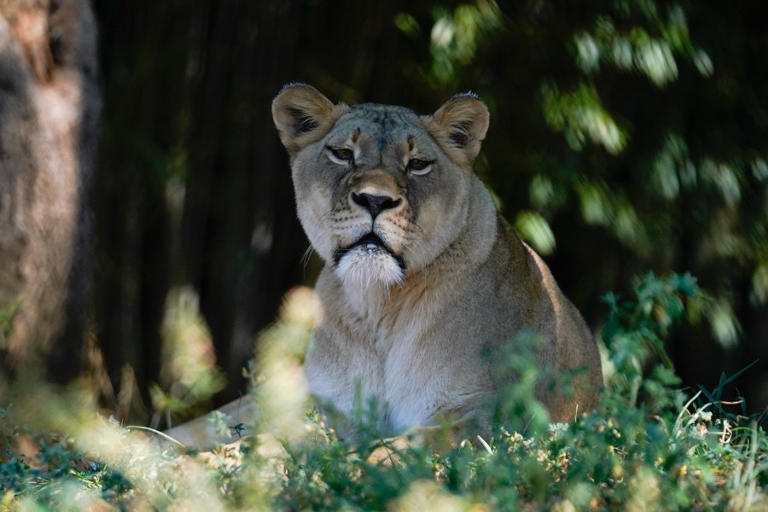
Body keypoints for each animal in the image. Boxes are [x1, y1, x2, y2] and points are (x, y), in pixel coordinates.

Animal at [165, 84, 602, 447]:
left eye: (419, 164)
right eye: (343, 154)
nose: (375, 200)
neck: (379, 307)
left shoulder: (487, 415)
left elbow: (392, 450)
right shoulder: (327, 407)